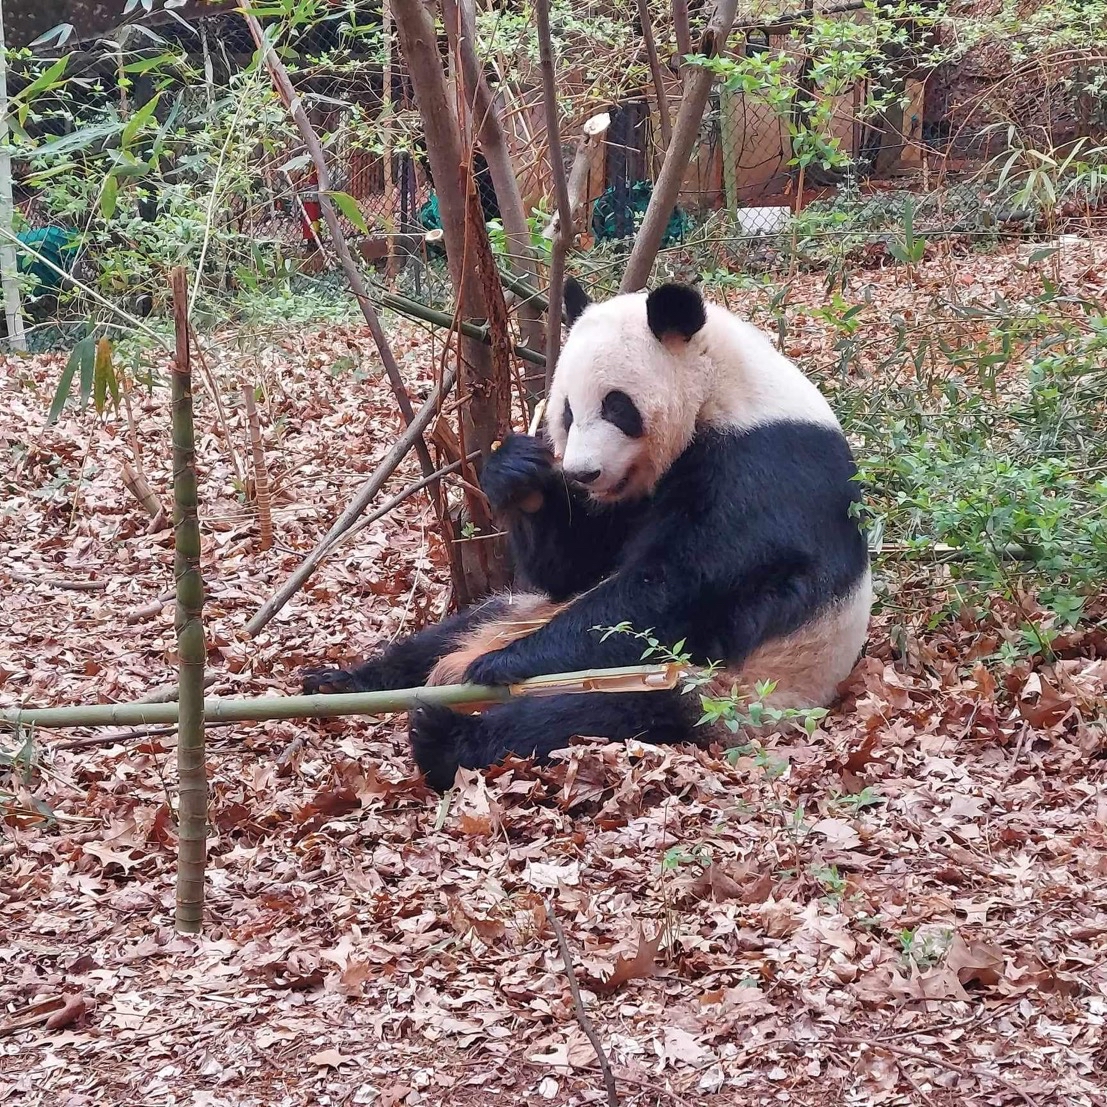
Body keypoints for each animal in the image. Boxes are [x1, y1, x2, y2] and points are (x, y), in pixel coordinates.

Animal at [302, 278, 872, 792]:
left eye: (618, 407)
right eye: (567, 410)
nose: (582, 473)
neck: (723, 388)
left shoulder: (763, 467)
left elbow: (675, 588)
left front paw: (498, 665)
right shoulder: (627, 501)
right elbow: (576, 568)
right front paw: (520, 477)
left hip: (729, 689)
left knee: (595, 715)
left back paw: (445, 733)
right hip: (515, 612)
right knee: (452, 632)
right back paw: (341, 682)